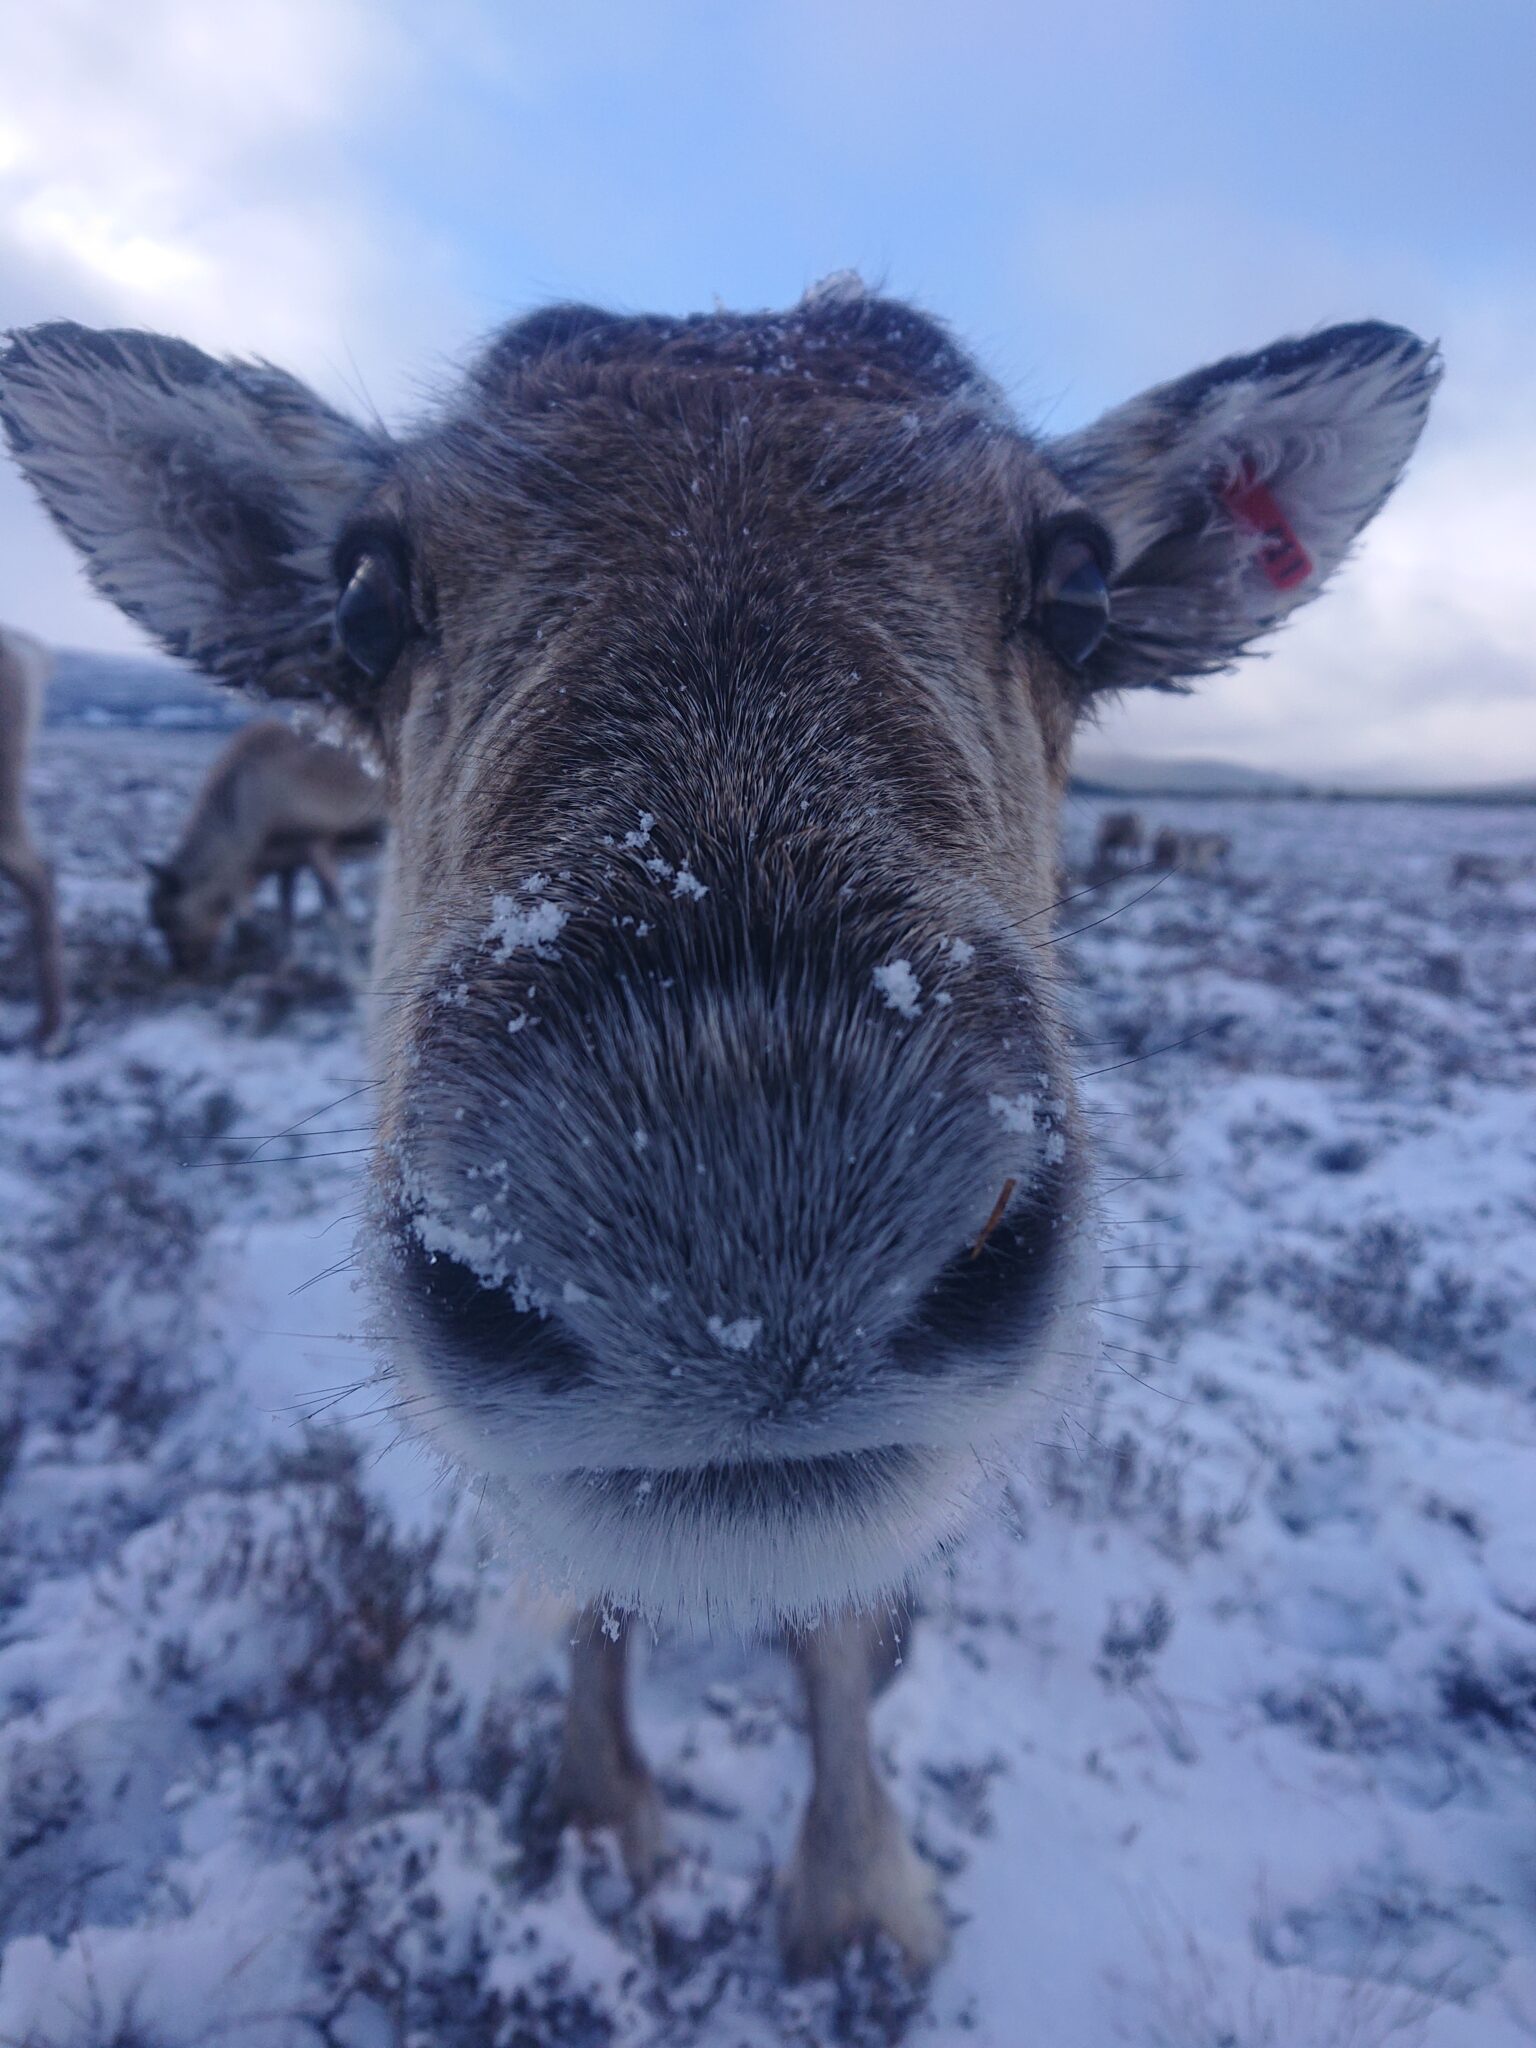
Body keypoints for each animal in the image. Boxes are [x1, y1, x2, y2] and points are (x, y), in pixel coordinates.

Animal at [146, 717, 385, 972]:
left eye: (171, 918)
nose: (183, 967)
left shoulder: (318, 843)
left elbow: (335, 914)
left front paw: (353, 970)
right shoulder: (288, 861)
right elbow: (286, 912)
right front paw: (288, 962)